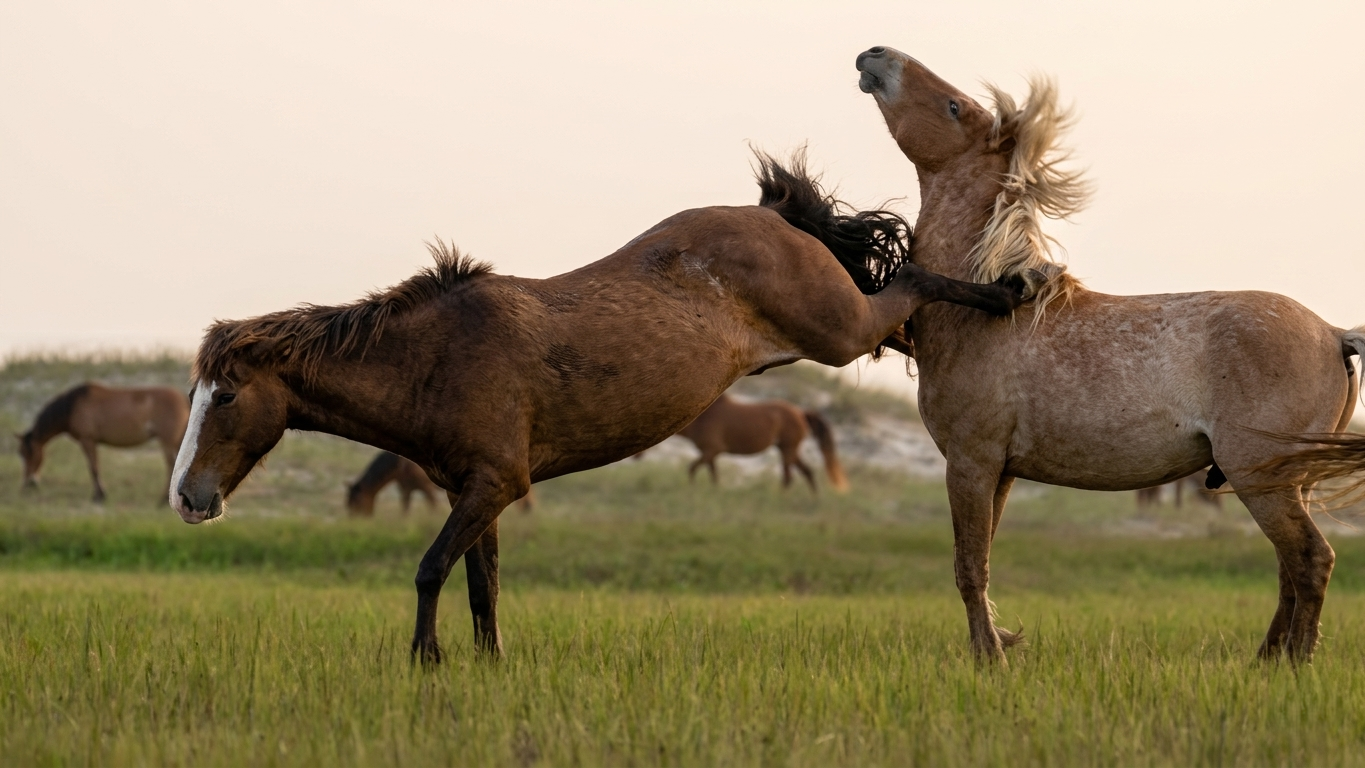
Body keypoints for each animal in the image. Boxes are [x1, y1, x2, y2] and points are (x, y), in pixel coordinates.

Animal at [17, 382, 188, 503]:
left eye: (28, 453)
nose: (28, 483)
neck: (73, 406)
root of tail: (183, 399)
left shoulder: (87, 441)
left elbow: (93, 468)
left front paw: (99, 496)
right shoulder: (91, 442)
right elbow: (95, 466)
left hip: (167, 442)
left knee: (171, 466)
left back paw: (163, 500)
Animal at [346, 450, 534, 515]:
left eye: (356, 502)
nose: (355, 520)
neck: (401, 464)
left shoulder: (426, 488)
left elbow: (433, 506)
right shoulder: (406, 489)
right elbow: (405, 509)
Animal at [677, 393, 847, 492]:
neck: (702, 418)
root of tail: (800, 413)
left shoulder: (712, 450)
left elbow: (692, 469)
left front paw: (691, 490)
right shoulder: (710, 454)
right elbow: (713, 475)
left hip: (788, 450)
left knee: (788, 477)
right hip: (790, 450)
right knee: (807, 472)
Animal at [855, 47, 1364, 664]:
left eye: (955, 106)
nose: (876, 55)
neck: (990, 307)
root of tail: (1334, 333)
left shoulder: (971, 463)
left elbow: (970, 568)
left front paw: (990, 660)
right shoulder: (1001, 472)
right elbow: (981, 563)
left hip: (1260, 478)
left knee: (1310, 561)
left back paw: (1294, 665)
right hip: (1290, 484)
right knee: (1291, 568)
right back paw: (1267, 661)